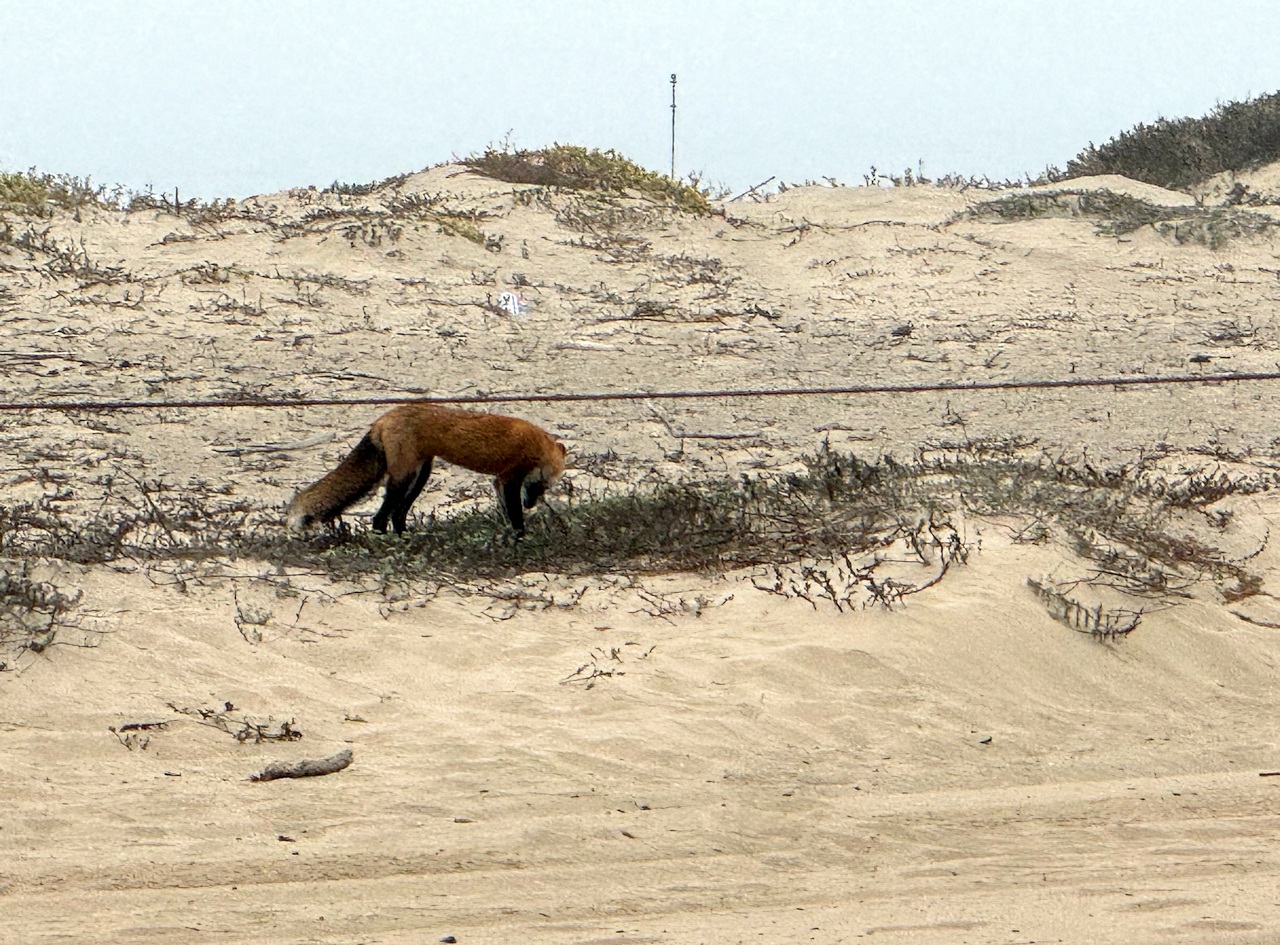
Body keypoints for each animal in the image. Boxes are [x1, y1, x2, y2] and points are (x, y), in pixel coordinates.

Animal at [285, 403, 567, 537]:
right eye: (541, 484)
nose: (531, 504)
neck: (535, 445)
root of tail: (382, 419)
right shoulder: (510, 478)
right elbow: (516, 519)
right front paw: (519, 539)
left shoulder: (499, 481)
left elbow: (508, 515)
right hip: (403, 478)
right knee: (380, 517)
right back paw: (385, 543)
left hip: (420, 475)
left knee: (397, 515)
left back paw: (404, 539)